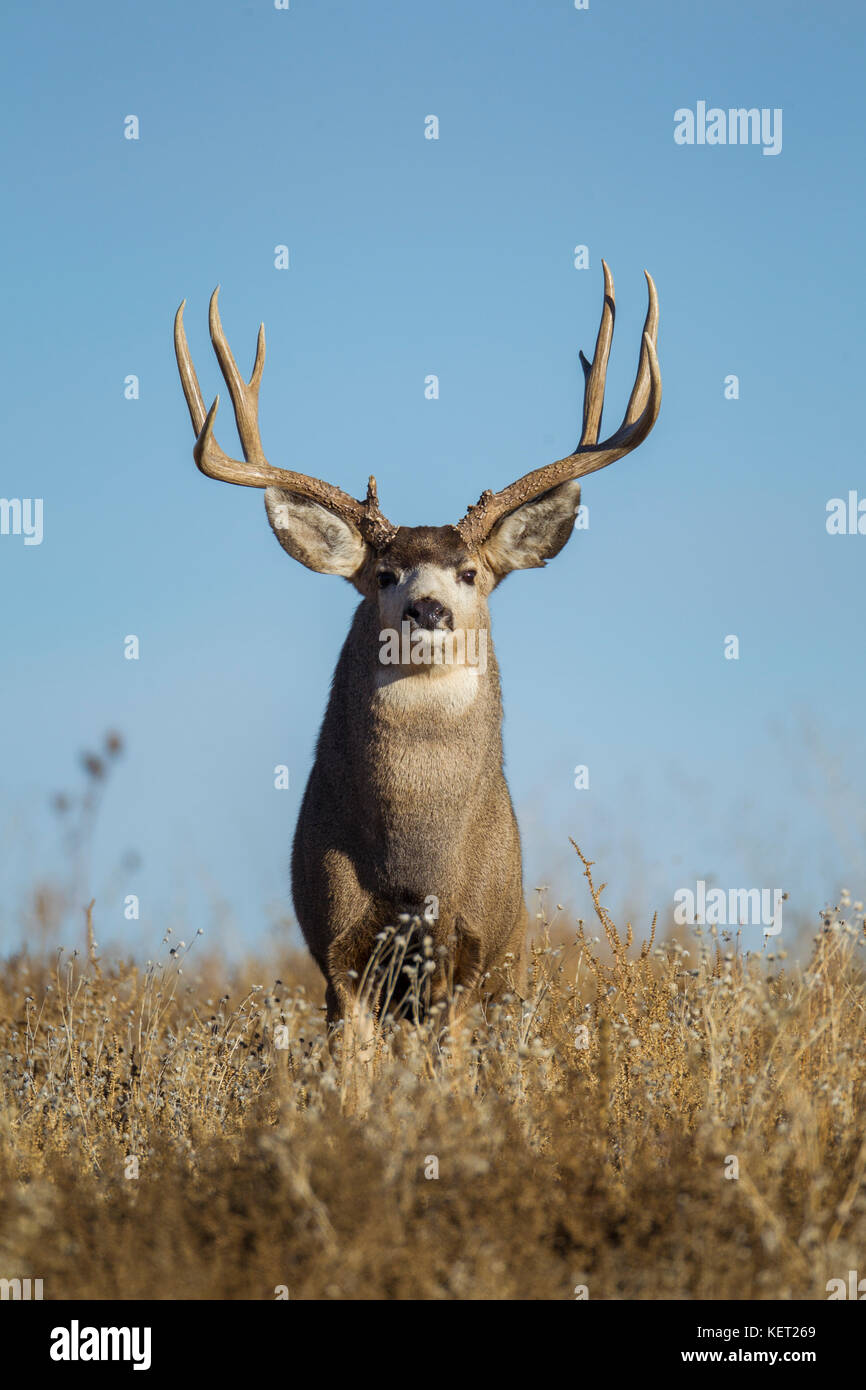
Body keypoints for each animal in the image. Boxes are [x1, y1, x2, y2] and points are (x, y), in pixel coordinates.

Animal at [174, 262, 660, 1024]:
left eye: (470, 572)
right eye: (383, 574)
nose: (427, 610)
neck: (415, 868)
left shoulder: (469, 952)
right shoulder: (338, 952)